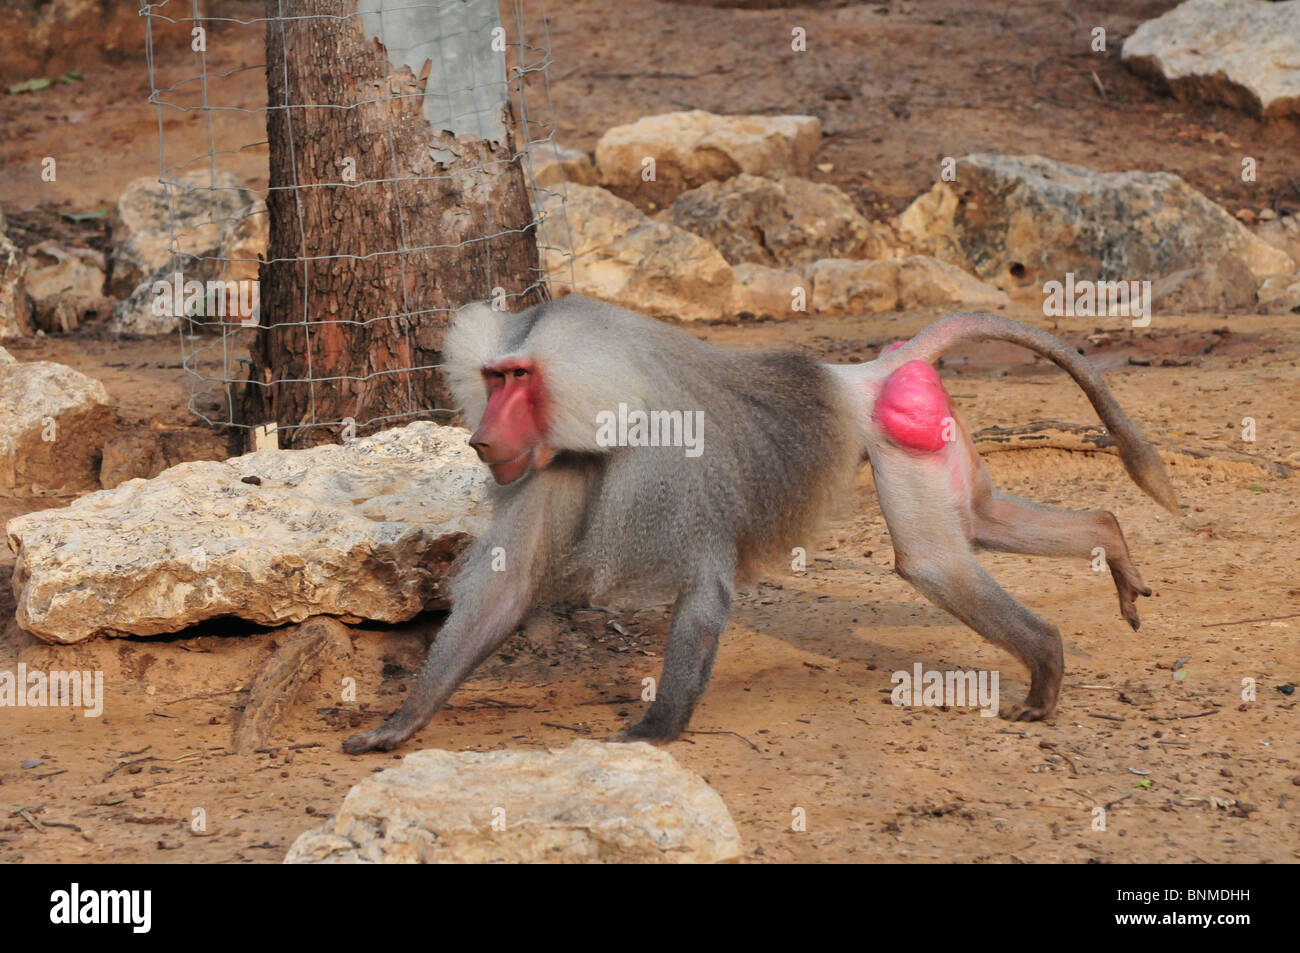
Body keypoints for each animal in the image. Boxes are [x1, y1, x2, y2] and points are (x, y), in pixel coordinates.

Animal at [342, 296, 1178, 754]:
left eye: (518, 378)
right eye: (492, 378)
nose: (483, 438)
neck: (613, 400)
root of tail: (870, 370)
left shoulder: (667, 469)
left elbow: (705, 593)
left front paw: (654, 731)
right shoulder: (551, 461)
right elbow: (505, 590)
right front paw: (403, 719)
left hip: (899, 436)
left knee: (934, 560)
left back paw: (1046, 660)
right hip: (928, 435)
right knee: (978, 524)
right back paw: (1111, 542)